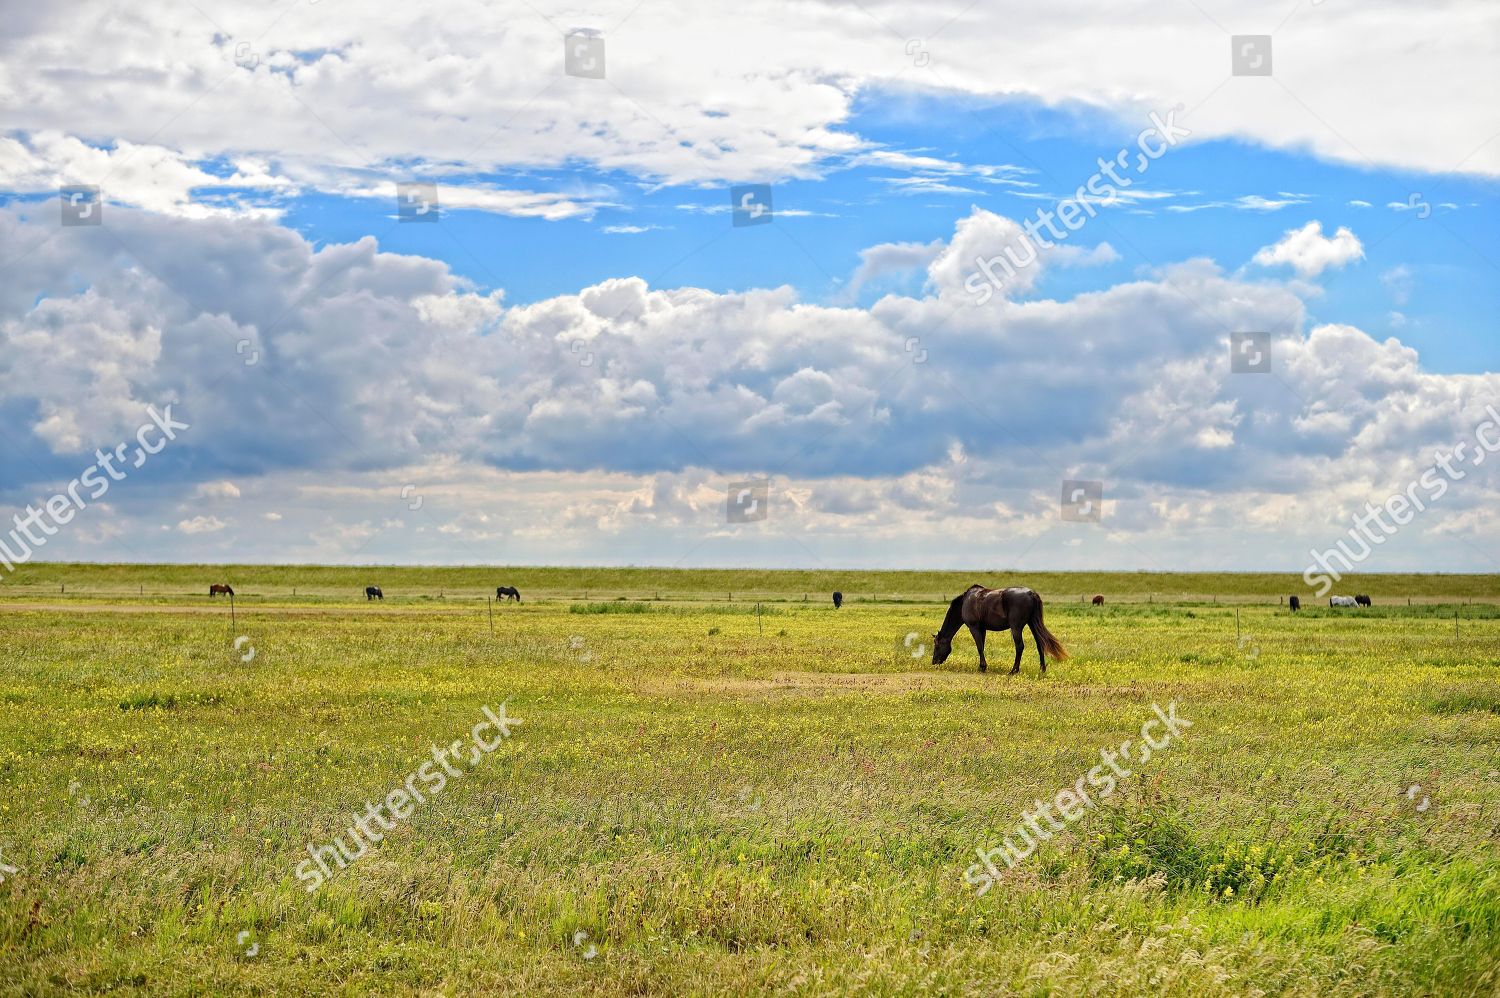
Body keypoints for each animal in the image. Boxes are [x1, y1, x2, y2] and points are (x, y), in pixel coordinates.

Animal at [932, 585, 1068, 675]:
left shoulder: (974, 627)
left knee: (1020, 646)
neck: (965, 602)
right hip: (1033, 624)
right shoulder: (982, 629)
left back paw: (1013, 670)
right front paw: (982, 666)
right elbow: (982, 646)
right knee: (1040, 644)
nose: (933, 662)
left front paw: (982, 667)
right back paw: (1042, 669)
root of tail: (1031, 594)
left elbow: (979, 647)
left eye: (937, 646)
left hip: (1016, 627)